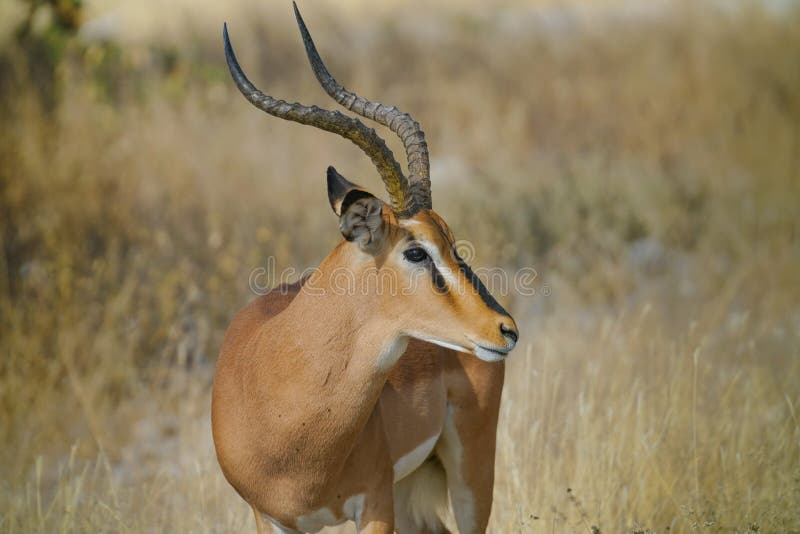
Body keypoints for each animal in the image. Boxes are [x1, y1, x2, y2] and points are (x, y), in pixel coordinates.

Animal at [211, 4, 519, 533]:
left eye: (451, 238)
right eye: (416, 251)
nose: (506, 328)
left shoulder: (375, 502)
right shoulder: (267, 516)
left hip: (470, 470)